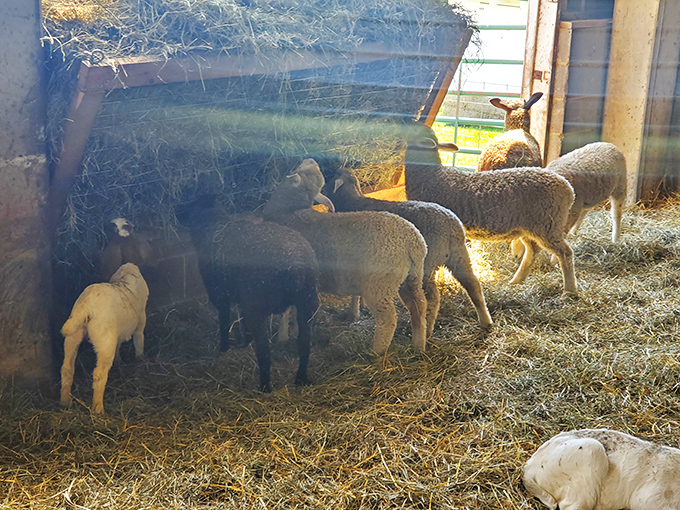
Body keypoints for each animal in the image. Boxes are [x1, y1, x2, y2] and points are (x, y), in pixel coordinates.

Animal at [60, 263, 149, 414]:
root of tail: (86, 307)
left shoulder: (117, 334)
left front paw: (118, 362)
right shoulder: (140, 324)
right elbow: (139, 343)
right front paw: (140, 361)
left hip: (73, 335)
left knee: (67, 368)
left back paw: (65, 402)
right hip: (104, 340)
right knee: (99, 374)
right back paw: (98, 409)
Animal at [175, 196, 319, 392]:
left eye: (191, 201)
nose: (176, 210)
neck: (214, 225)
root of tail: (295, 267)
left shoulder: (220, 294)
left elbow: (224, 321)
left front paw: (224, 348)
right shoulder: (243, 298)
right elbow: (242, 320)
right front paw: (245, 343)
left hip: (258, 307)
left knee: (264, 352)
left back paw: (265, 387)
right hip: (308, 303)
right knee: (304, 345)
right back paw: (301, 379)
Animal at [262, 158, 428, 355]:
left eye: (301, 171)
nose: (311, 160)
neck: (289, 211)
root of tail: (414, 241)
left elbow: (285, 311)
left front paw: (282, 338)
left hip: (380, 284)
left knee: (388, 319)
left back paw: (376, 352)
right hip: (411, 277)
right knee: (419, 306)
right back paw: (419, 345)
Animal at [323, 168, 492, 337]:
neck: (351, 201)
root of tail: (451, 224)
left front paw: (352, 313)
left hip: (427, 264)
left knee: (431, 298)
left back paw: (427, 331)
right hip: (459, 255)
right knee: (473, 285)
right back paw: (485, 321)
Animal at [404, 122, 578, 295]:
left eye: (414, 130)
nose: (409, 121)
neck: (432, 177)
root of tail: (568, 189)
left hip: (548, 225)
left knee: (565, 253)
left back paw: (570, 290)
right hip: (532, 228)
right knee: (532, 251)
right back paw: (516, 281)